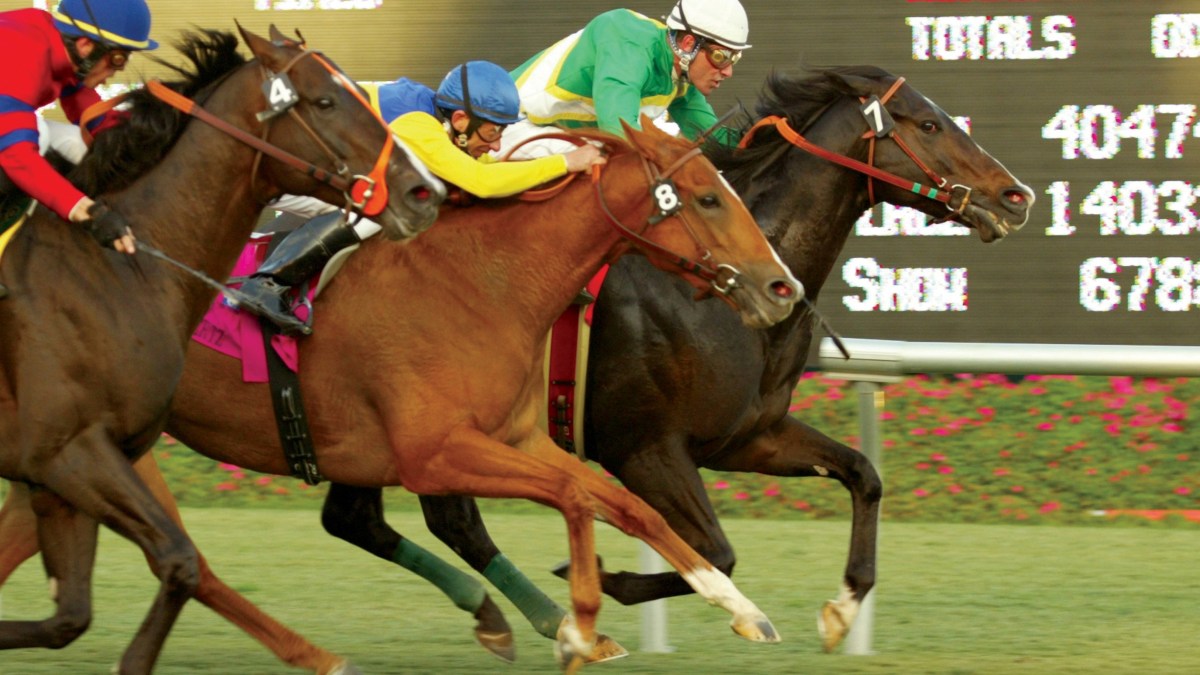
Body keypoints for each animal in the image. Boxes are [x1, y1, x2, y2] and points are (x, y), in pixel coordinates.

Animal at [0, 24, 441, 673]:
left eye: (359, 93)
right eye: (324, 101)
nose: (424, 192)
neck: (114, 268)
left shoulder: (61, 474)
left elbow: (71, 615)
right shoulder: (71, 452)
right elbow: (178, 561)